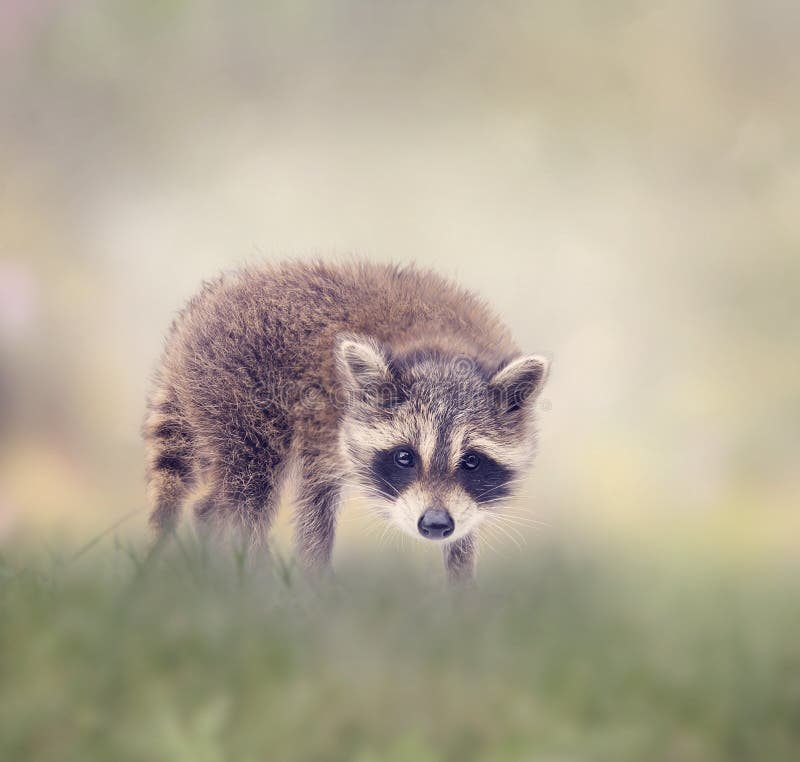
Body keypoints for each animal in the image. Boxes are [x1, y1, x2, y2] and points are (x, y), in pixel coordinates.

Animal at [143, 261, 549, 581]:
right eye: (405, 457)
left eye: (472, 461)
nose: (434, 524)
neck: (442, 350)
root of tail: (199, 311)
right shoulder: (322, 421)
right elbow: (314, 506)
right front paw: (315, 585)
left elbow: (465, 521)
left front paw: (460, 592)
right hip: (236, 395)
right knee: (248, 483)